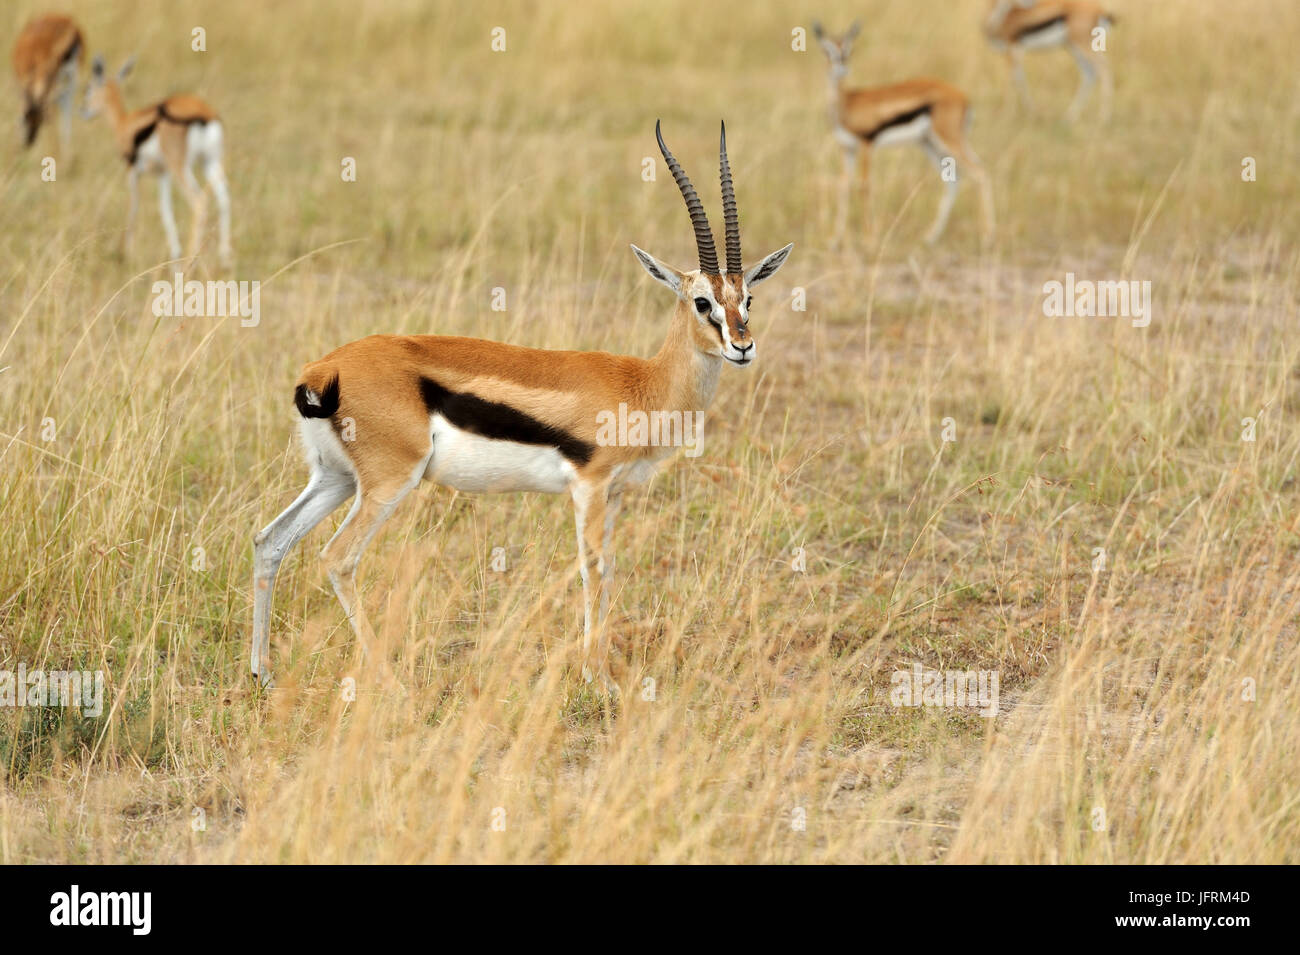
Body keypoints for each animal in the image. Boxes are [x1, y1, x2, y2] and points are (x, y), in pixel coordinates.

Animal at [82, 55, 233, 266]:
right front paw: (175, 254)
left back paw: (191, 259)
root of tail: (204, 113)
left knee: (199, 201)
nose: (83, 111)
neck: (124, 123)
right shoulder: (163, 173)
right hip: (210, 162)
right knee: (224, 200)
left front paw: (126, 253)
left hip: (182, 168)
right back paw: (224, 259)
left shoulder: (133, 171)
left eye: (88, 88)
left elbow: (133, 206)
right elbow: (165, 210)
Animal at [249, 122, 793, 693]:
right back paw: (389, 680)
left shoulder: (616, 494)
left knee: (270, 540)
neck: (644, 385)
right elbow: (592, 570)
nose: (742, 346)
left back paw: (263, 672)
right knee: (337, 558)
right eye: (702, 302)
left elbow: (609, 570)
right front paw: (598, 680)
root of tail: (321, 370)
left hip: (335, 478)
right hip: (389, 481)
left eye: (748, 299)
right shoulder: (589, 486)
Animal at [812, 21, 993, 245]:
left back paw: (988, 237)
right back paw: (931, 237)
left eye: (849, 49)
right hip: (929, 144)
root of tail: (963, 97)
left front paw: (869, 239)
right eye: (826, 50)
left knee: (980, 172)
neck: (847, 103)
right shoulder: (847, 148)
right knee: (954, 181)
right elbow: (843, 186)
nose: (841, 68)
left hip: (948, 140)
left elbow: (864, 186)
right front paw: (835, 240)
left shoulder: (866, 144)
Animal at [984, 0, 1115, 123]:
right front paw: (1032, 113)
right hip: (1072, 47)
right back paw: (1069, 117)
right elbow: (1020, 80)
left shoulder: (1012, 51)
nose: (1031, 3)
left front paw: (1006, 115)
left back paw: (1103, 117)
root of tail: (1101, 10)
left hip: (1082, 44)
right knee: (1090, 73)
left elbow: (1011, 82)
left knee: (1104, 67)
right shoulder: (1013, 54)